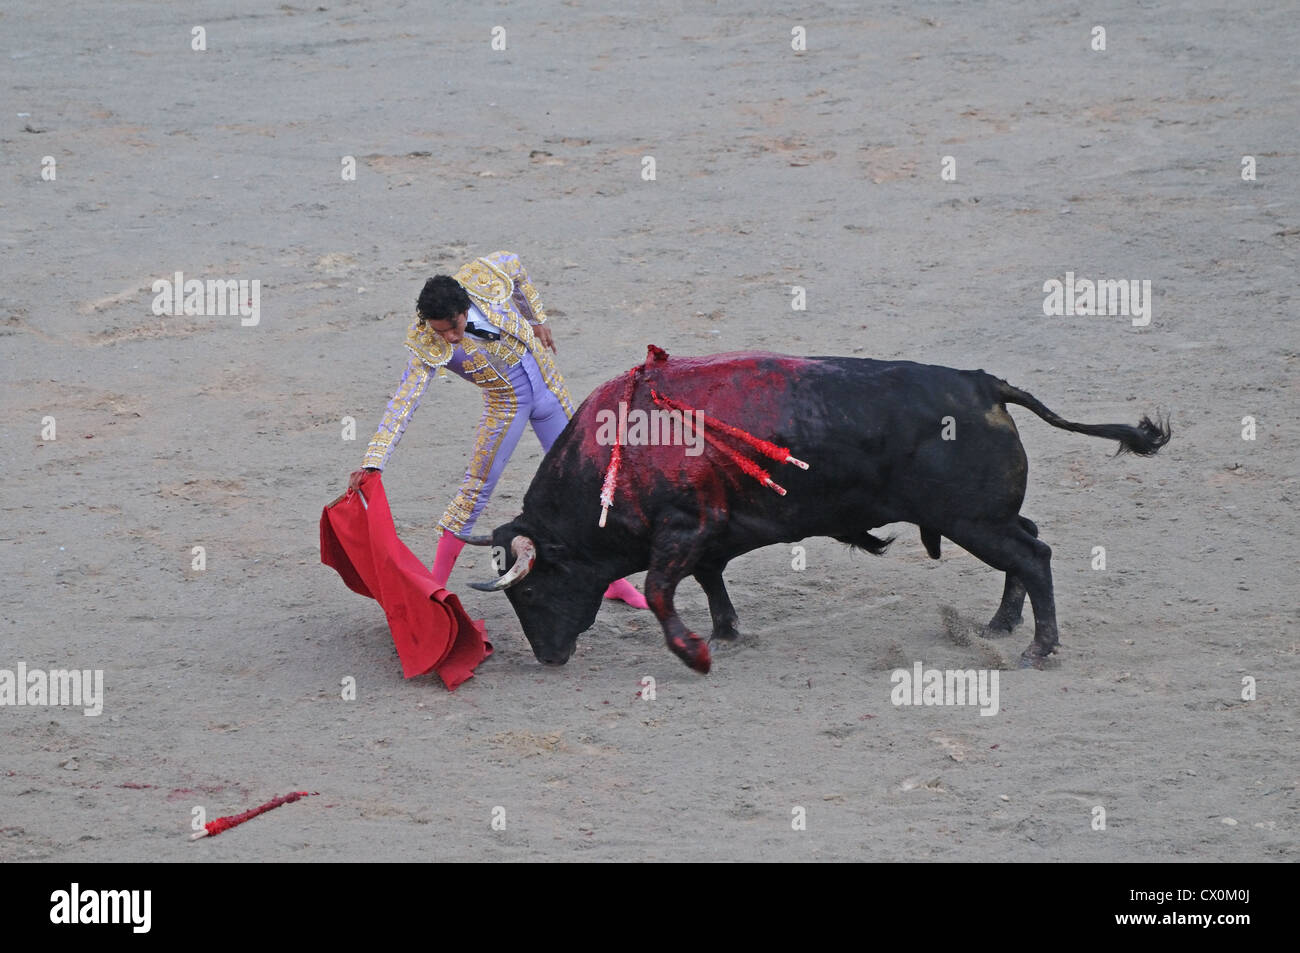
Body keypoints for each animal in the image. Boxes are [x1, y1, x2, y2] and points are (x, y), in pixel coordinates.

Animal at [455, 348, 1170, 673]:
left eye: (531, 588)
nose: (549, 657)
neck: (618, 456)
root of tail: (983, 384)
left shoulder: (681, 531)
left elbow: (660, 590)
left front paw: (694, 653)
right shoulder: (707, 535)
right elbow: (709, 581)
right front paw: (726, 632)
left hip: (974, 522)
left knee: (1034, 554)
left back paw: (1040, 647)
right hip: (984, 520)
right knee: (1028, 545)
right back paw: (999, 625)